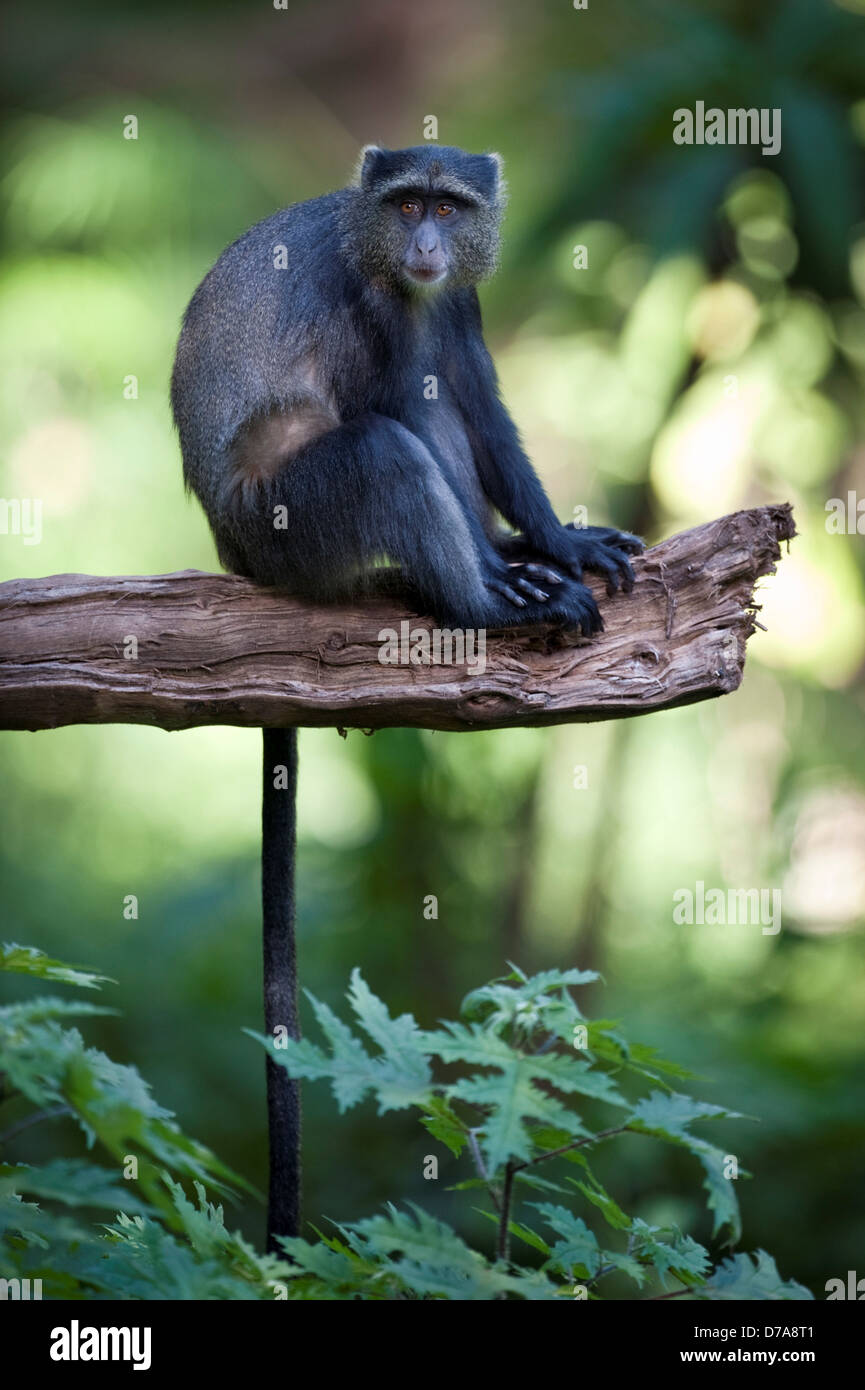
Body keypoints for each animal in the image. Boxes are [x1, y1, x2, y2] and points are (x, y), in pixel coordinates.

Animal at [170, 144, 643, 1251]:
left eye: (449, 208)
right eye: (406, 205)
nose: (426, 245)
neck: (397, 269)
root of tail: (232, 551)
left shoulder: (455, 303)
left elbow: (479, 405)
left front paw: (554, 539)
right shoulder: (370, 308)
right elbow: (414, 410)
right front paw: (510, 576)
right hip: (291, 522)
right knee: (387, 445)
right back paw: (477, 595)